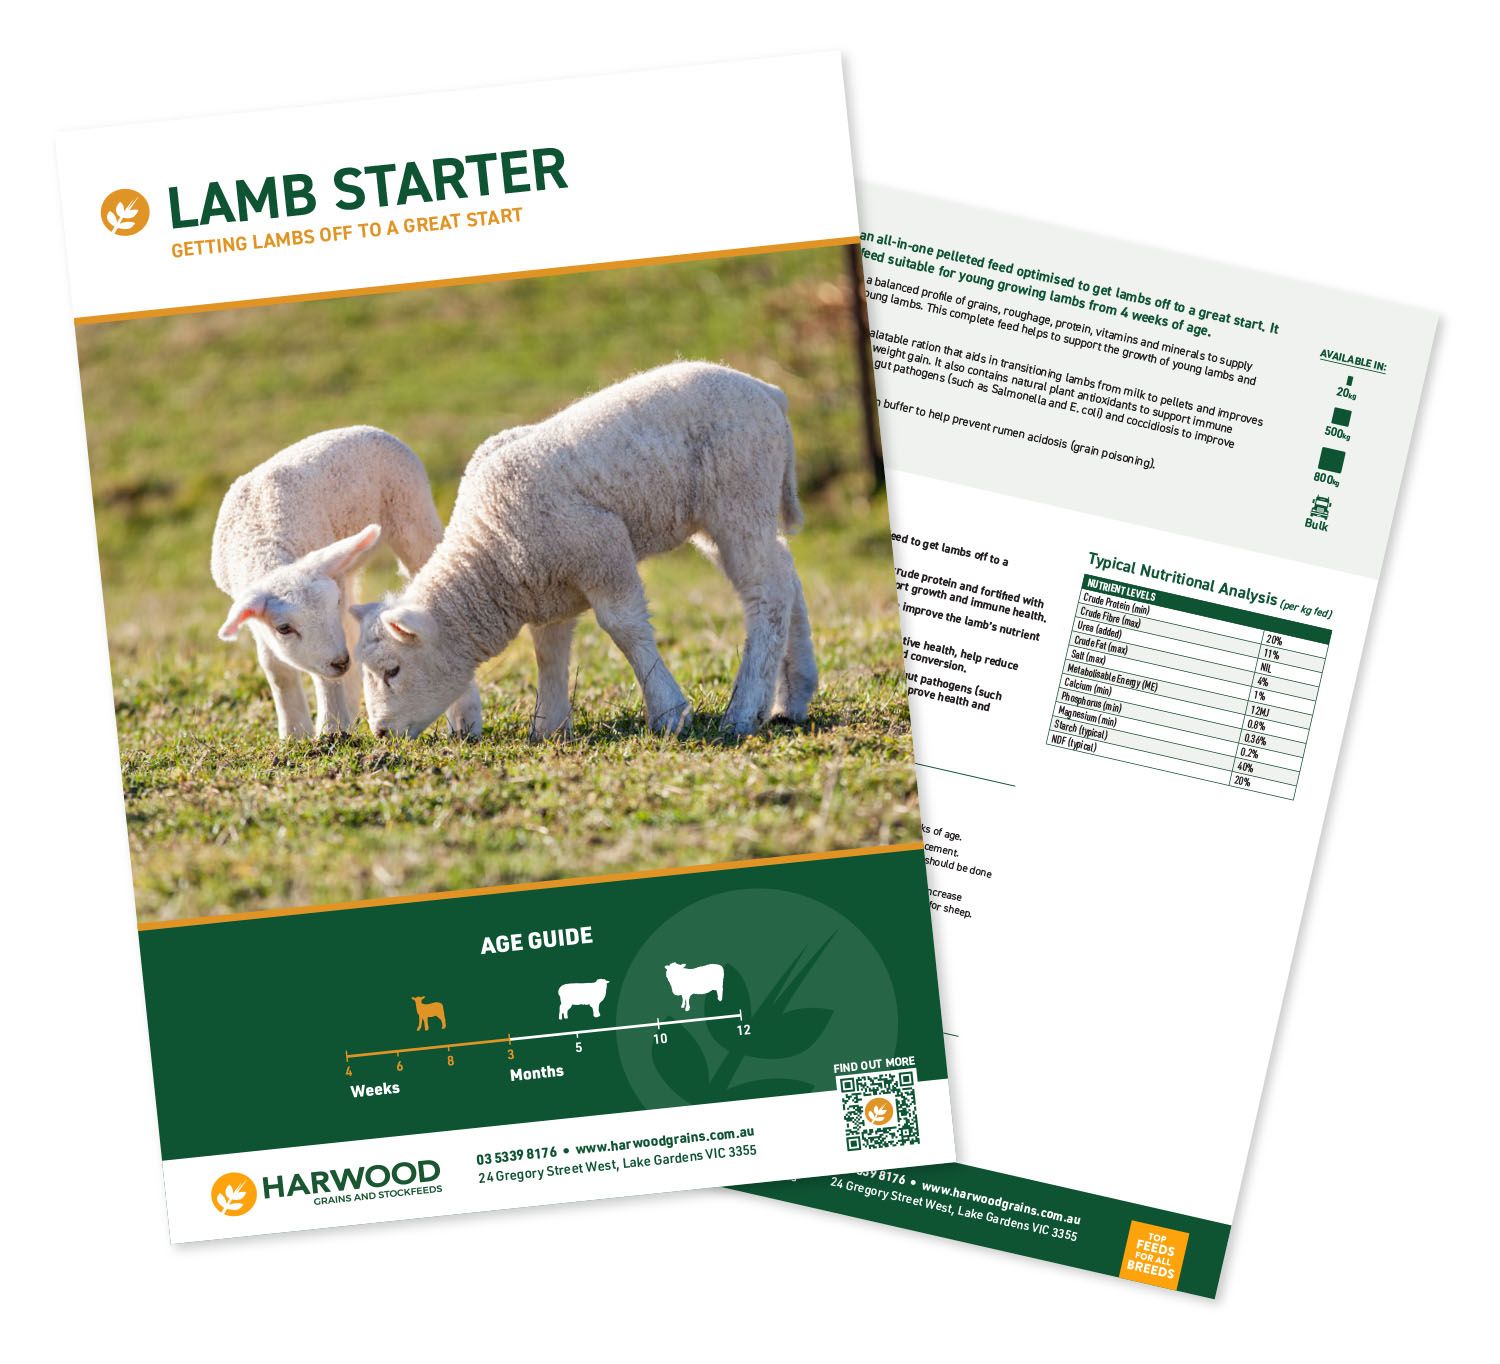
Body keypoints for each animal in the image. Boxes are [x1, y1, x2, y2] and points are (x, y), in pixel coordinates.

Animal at [211, 426, 483, 739]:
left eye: (334, 604)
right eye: (284, 628)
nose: (340, 661)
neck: (264, 542)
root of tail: (372, 429)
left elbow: (326, 678)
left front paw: (331, 730)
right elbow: (276, 670)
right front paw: (295, 734)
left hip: (411, 511)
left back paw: (464, 719)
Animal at [352, 362, 818, 739]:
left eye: (392, 670)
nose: (380, 733)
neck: (490, 551)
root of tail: (766, 390)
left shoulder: (602, 547)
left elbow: (624, 627)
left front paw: (668, 712)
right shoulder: (547, 586)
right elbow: (548, 650)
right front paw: (549, 727)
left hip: (739, 493)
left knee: (767, 591)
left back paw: (744, 711)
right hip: (721, 512)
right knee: (785, 571)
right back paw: (792, 698)